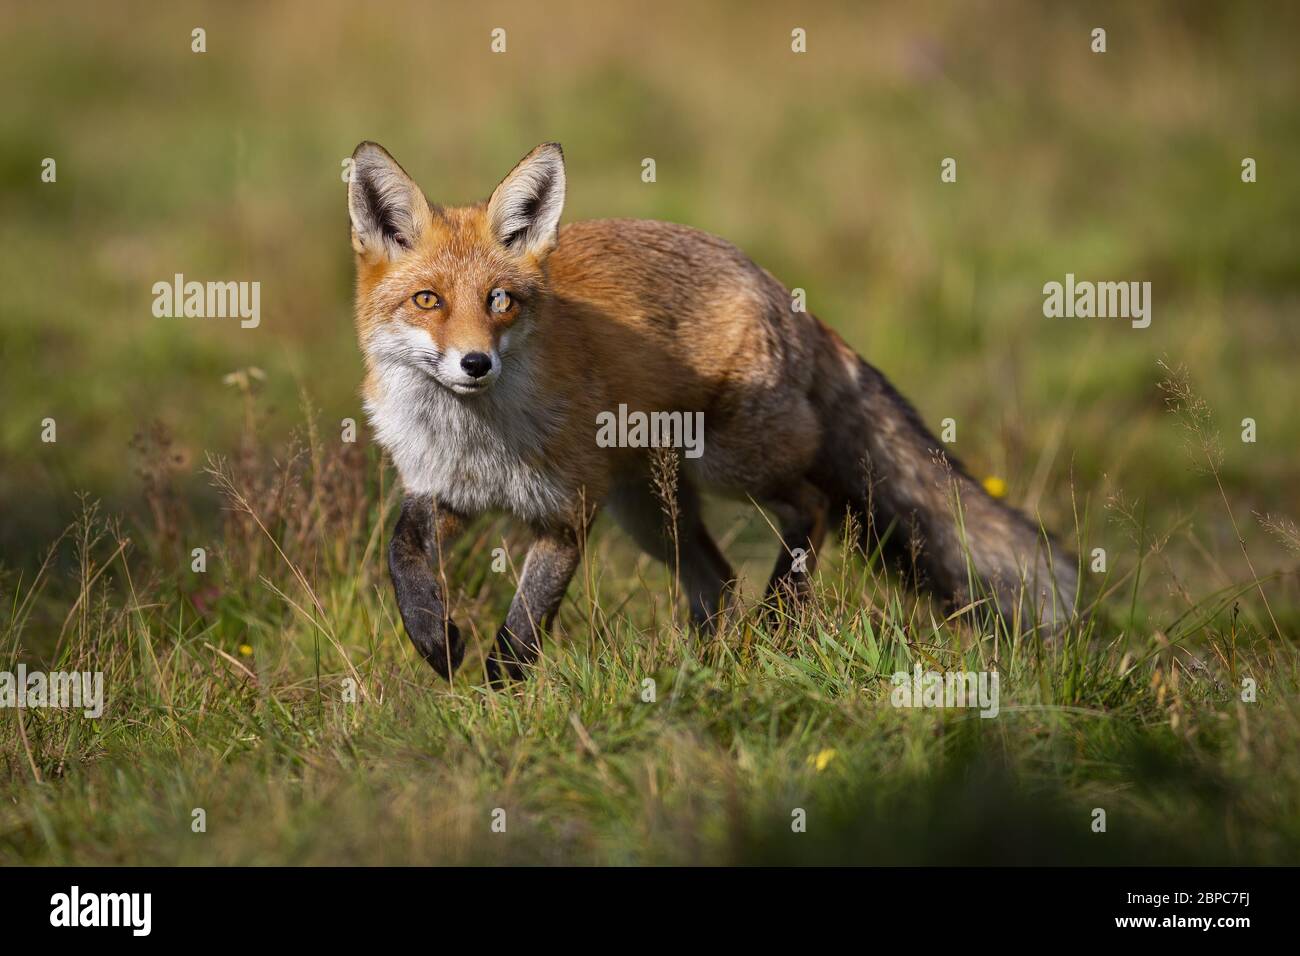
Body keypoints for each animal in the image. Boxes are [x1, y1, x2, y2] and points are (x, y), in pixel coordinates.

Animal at [346, 141, 1077, 682]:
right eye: (428, 301)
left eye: (501, 301)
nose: (475, 364)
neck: (477, 439)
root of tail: (784, 294)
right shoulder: (441, 488)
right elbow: (401, 552)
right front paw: (434, 640)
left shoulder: (565, 513)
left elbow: (524, 630)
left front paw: (498, 703)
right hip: (648, 510)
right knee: (718, 582)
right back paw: (709, 666)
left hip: (723, 461)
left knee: (812, 506)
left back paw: (776, 621)